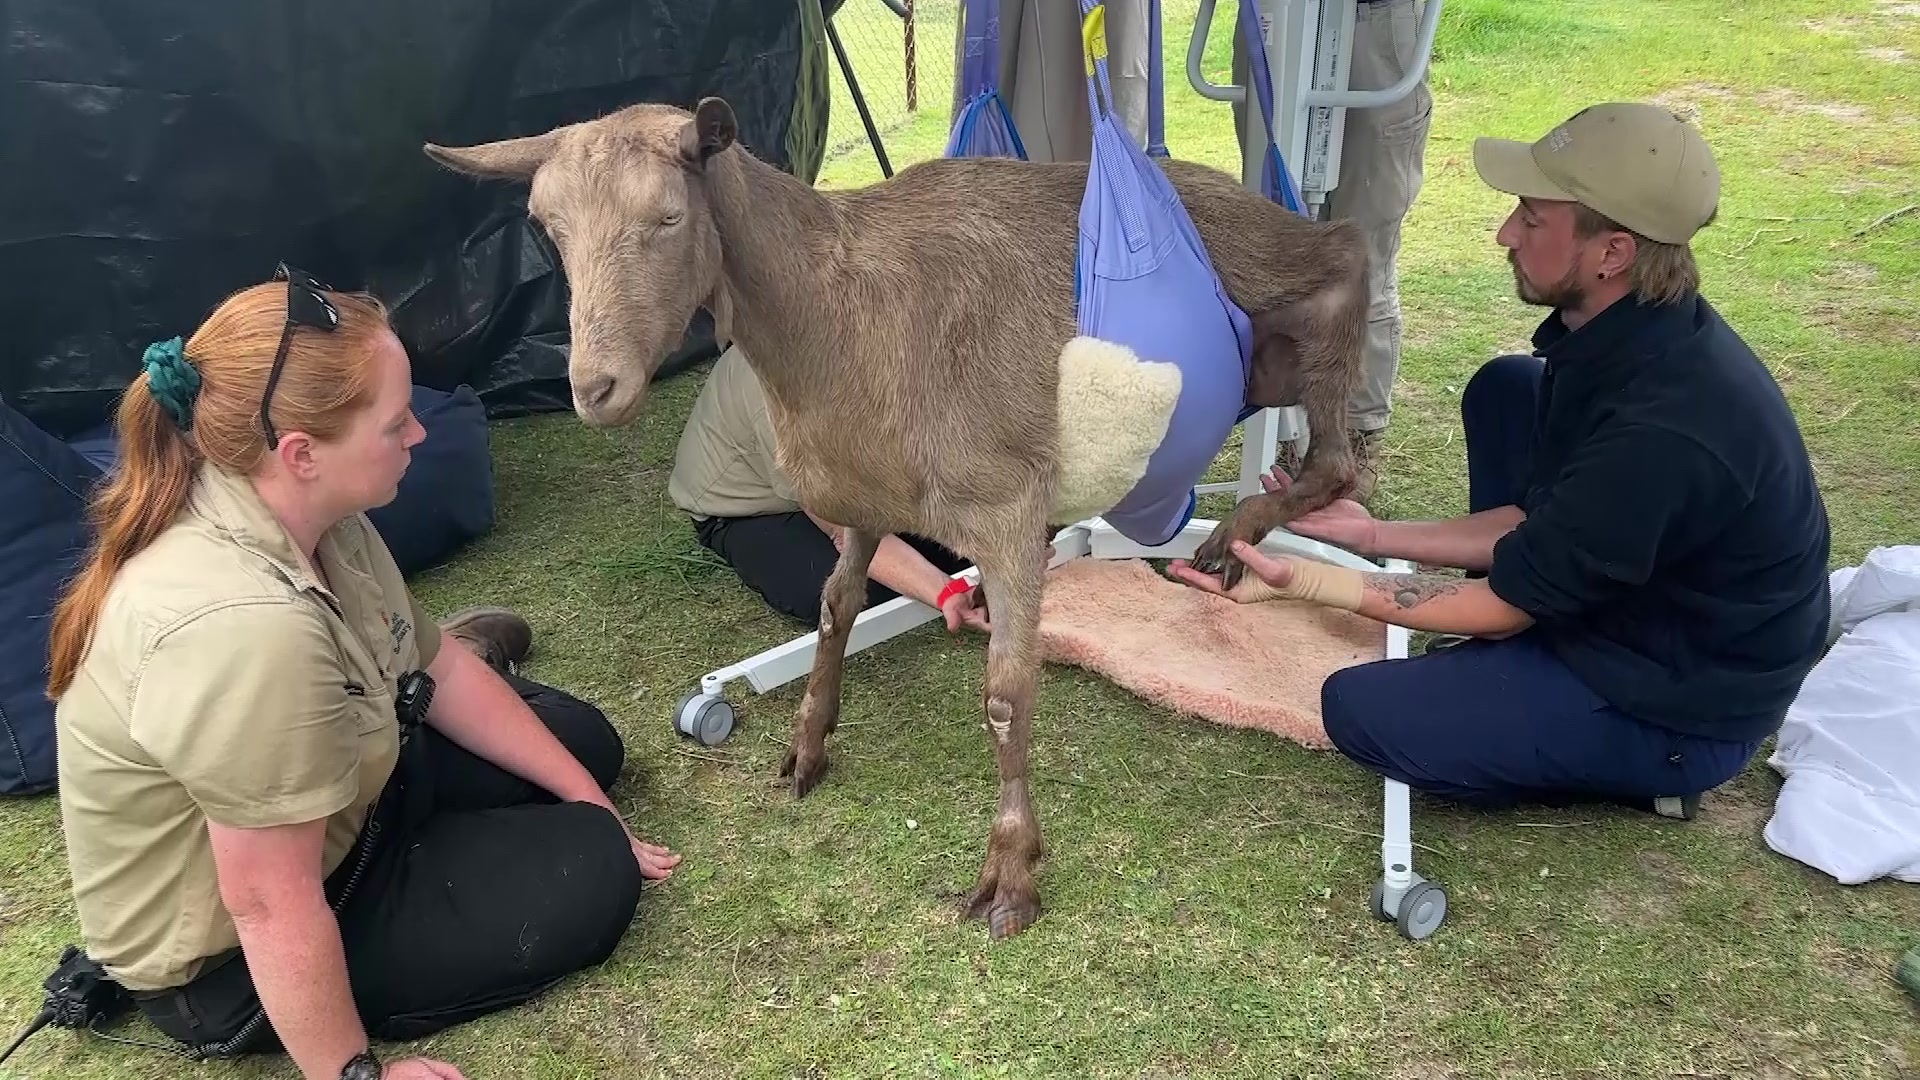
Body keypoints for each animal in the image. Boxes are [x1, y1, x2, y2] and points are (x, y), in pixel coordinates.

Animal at [425, 97, 1368, 940]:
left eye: (667, 216)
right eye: (548, 228)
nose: (595, 389)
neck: (840, 317)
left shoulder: (1008, 509)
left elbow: (1005, 694)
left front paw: (1010, 875)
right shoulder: (866, 500)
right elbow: (834, 608)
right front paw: (807, 750)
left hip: (1320, 315)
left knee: (1338, 443)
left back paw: (1237, 532)